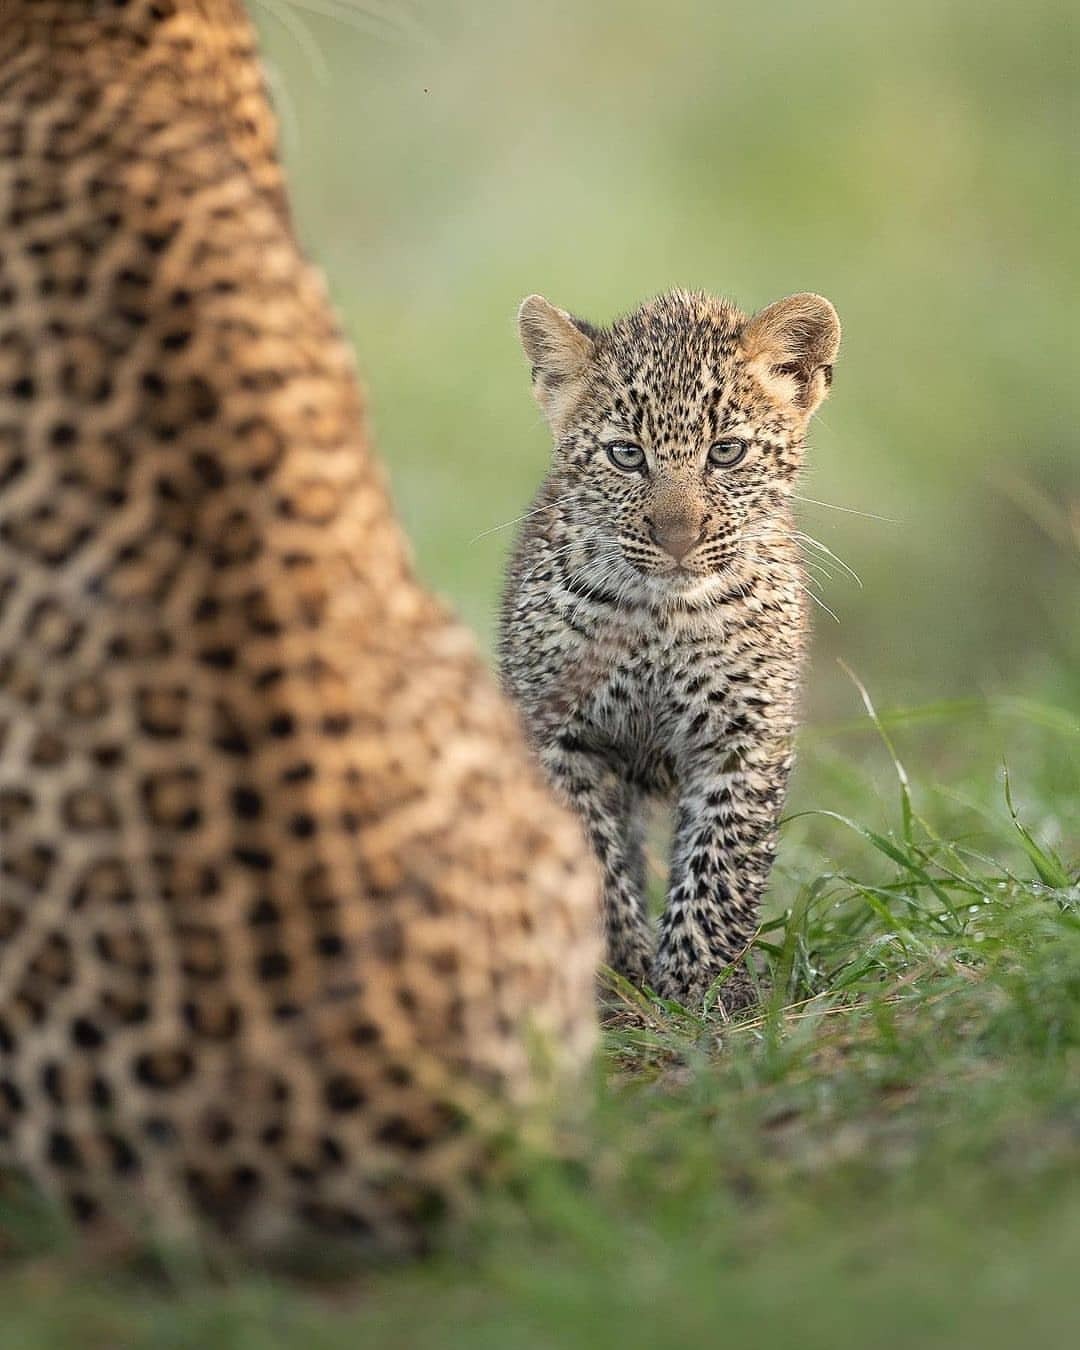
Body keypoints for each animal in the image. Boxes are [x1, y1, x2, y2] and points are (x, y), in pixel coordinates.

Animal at [499, 289, 840, 1012]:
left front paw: (698, 992)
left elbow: (722, 866)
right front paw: (619, 977)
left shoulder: (743, 738)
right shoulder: (561, 735)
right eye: (627, 455)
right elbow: (591, 857)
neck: (664, 620)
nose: (679, 538)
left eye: (727, 452)